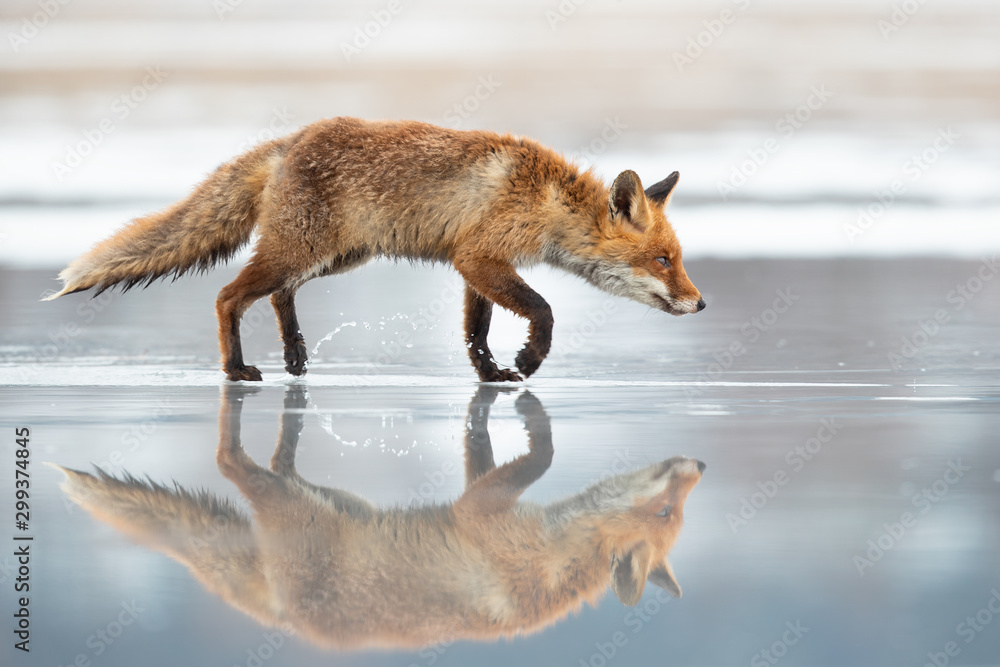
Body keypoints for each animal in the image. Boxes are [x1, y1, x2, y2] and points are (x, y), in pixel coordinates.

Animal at [44, 116, 705, 382]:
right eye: (663, 261)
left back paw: (295, 354)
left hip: (335, 257)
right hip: (302, 250)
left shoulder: (473, 264)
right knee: (229, 296)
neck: (545, 201)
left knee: (279, 294)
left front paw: (491, 376)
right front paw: (529, 360)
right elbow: (542, 310)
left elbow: (476, 332)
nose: (701, 304)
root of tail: (290, 140)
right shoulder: (482, 257)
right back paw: (236, 370)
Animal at [54, 385, 705, 650]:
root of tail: (294, 620)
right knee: (229, 462)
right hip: (298, 504)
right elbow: (535, 458)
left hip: (330, 500)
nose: (701, 462)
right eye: (667, 508)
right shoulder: (477, 512)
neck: (546, 560)